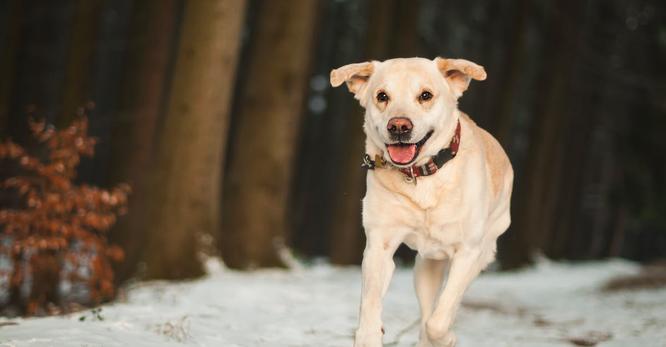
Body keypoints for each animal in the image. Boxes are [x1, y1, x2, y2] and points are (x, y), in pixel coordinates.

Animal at [330, 57, 510, 347]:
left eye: (425, 95)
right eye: (382, 96)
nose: (398, 126)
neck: (421, 176)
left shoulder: (467, 252)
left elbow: (440, 319)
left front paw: (446, 337)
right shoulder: (378, 247)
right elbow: (370, 306)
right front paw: (370, 334)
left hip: (483, 251)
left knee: (441, 310)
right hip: (425, 268)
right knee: (427, 309)